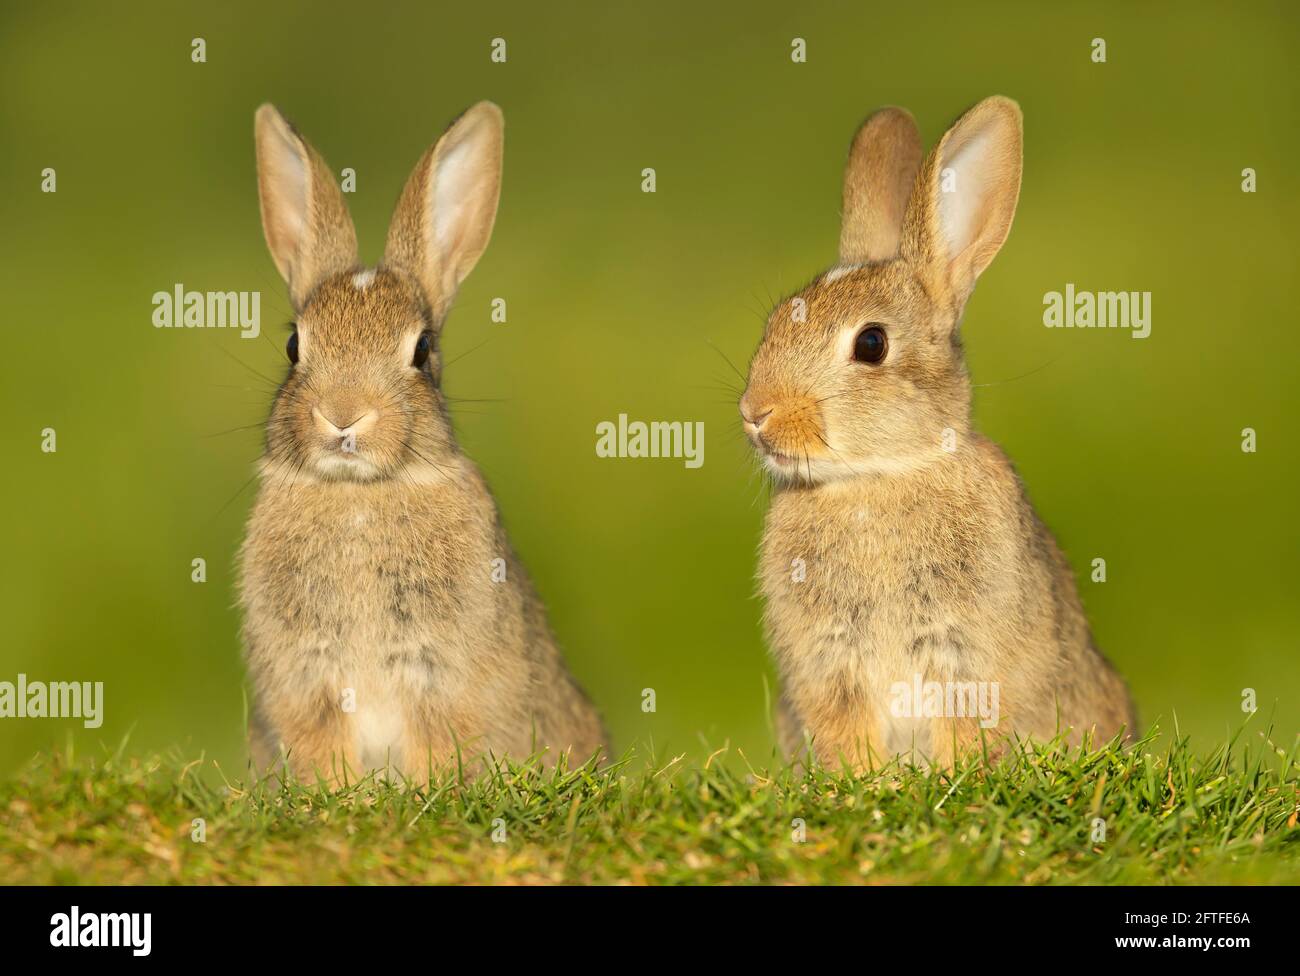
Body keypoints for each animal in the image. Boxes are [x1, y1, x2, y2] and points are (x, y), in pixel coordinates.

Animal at [239, 102, 606, 785]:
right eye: (294, 345)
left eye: (422, 350)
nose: (344, 415)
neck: (359, 495)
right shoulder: (305, 679)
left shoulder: (443, 675)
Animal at [739, 97, 1136, 769]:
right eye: (773, 324)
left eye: (871, 344)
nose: (755, 411)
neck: (877, 477)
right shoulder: (829, 663)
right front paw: (864, 781)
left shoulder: (964, 651)